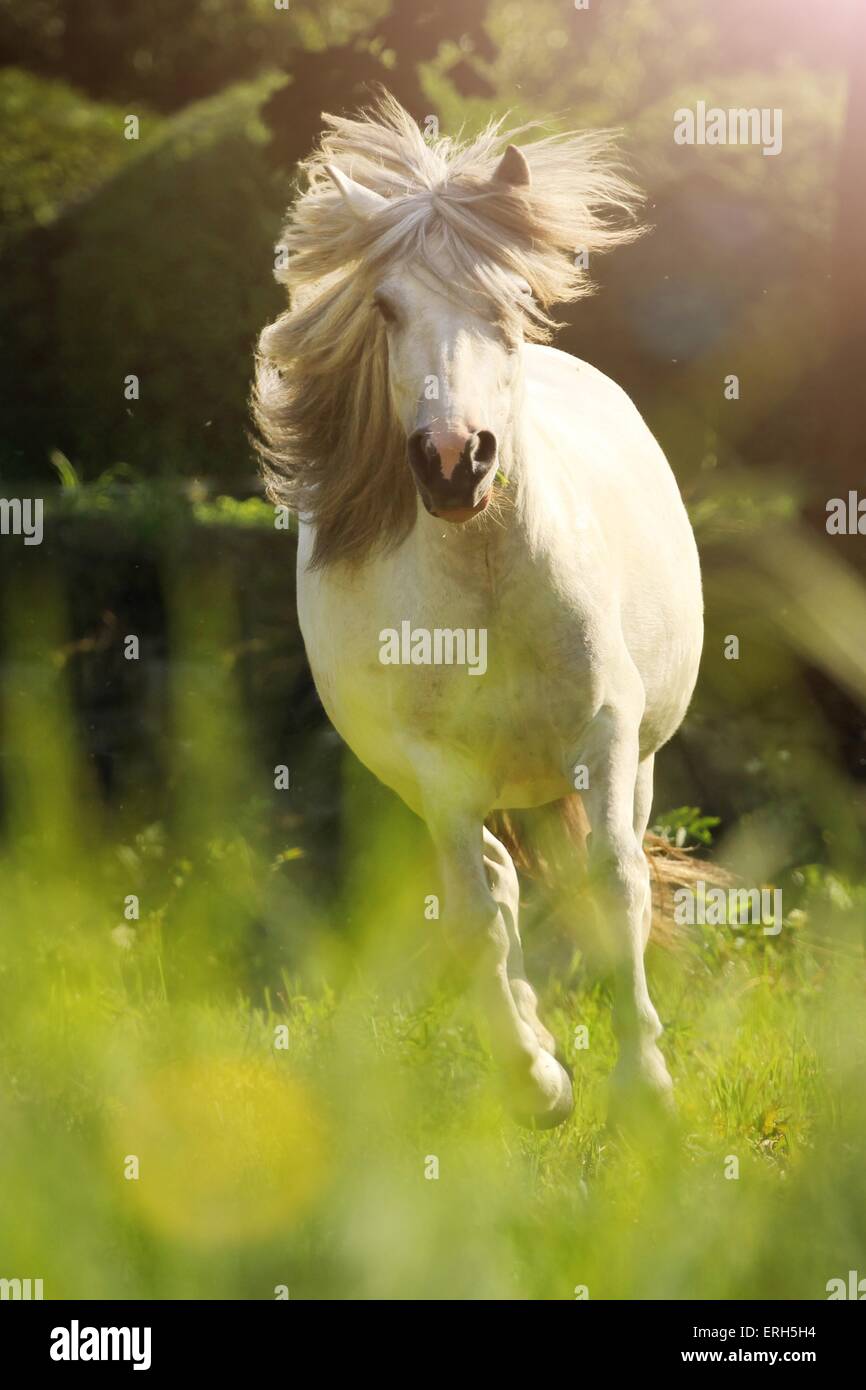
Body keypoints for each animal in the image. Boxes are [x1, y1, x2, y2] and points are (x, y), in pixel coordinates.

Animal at [254, 95, 704, 1129]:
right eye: (385, 307)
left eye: (507, 302)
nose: (455, 461)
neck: (487, 592)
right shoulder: (439, 770)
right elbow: (473, 917)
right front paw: (538, 1083)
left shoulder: (607, 736)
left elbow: (616, 886)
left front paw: (646, 1090)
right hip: (431, 784)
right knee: (493, 886)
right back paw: (534, 1044)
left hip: (637, 759)